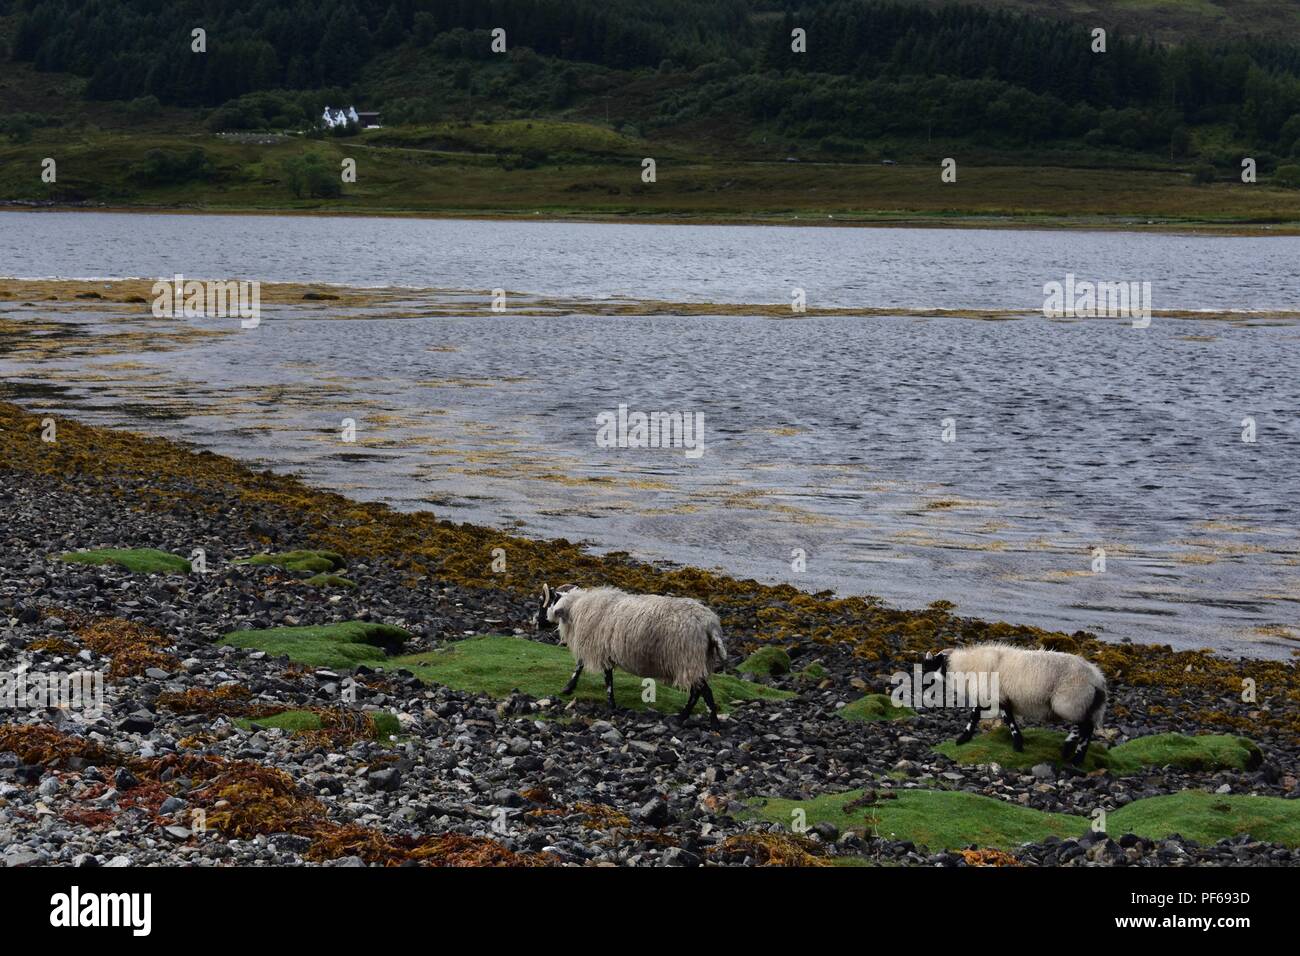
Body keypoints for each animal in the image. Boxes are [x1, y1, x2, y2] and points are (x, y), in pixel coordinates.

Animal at [533, 583, 728, 729]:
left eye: (542, 601)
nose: (535, 621)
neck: (575, 607)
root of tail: (710, 625)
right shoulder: (602, 648)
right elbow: (587, 668)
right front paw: (569, 688)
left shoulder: (597, 647)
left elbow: (602, 676)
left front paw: (609, 704)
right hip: (697, 660)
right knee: (698, 691)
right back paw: (686, 717)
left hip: (688, 659)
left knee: (702, 691)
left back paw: (705, 721)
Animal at [921, 643, 1107, 765]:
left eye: (927, 668)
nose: (920, 688)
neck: (967, 667)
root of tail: (1097, 678)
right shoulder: (998, 697)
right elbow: (987, 716)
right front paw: (964, 739)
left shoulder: (994, 695)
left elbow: (996, 718)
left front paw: (1017, 745)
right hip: (1082, 705)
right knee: (1084, 728)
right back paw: (1072, 753)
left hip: (1070, 702)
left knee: (1085, 727)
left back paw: (1074, 755)